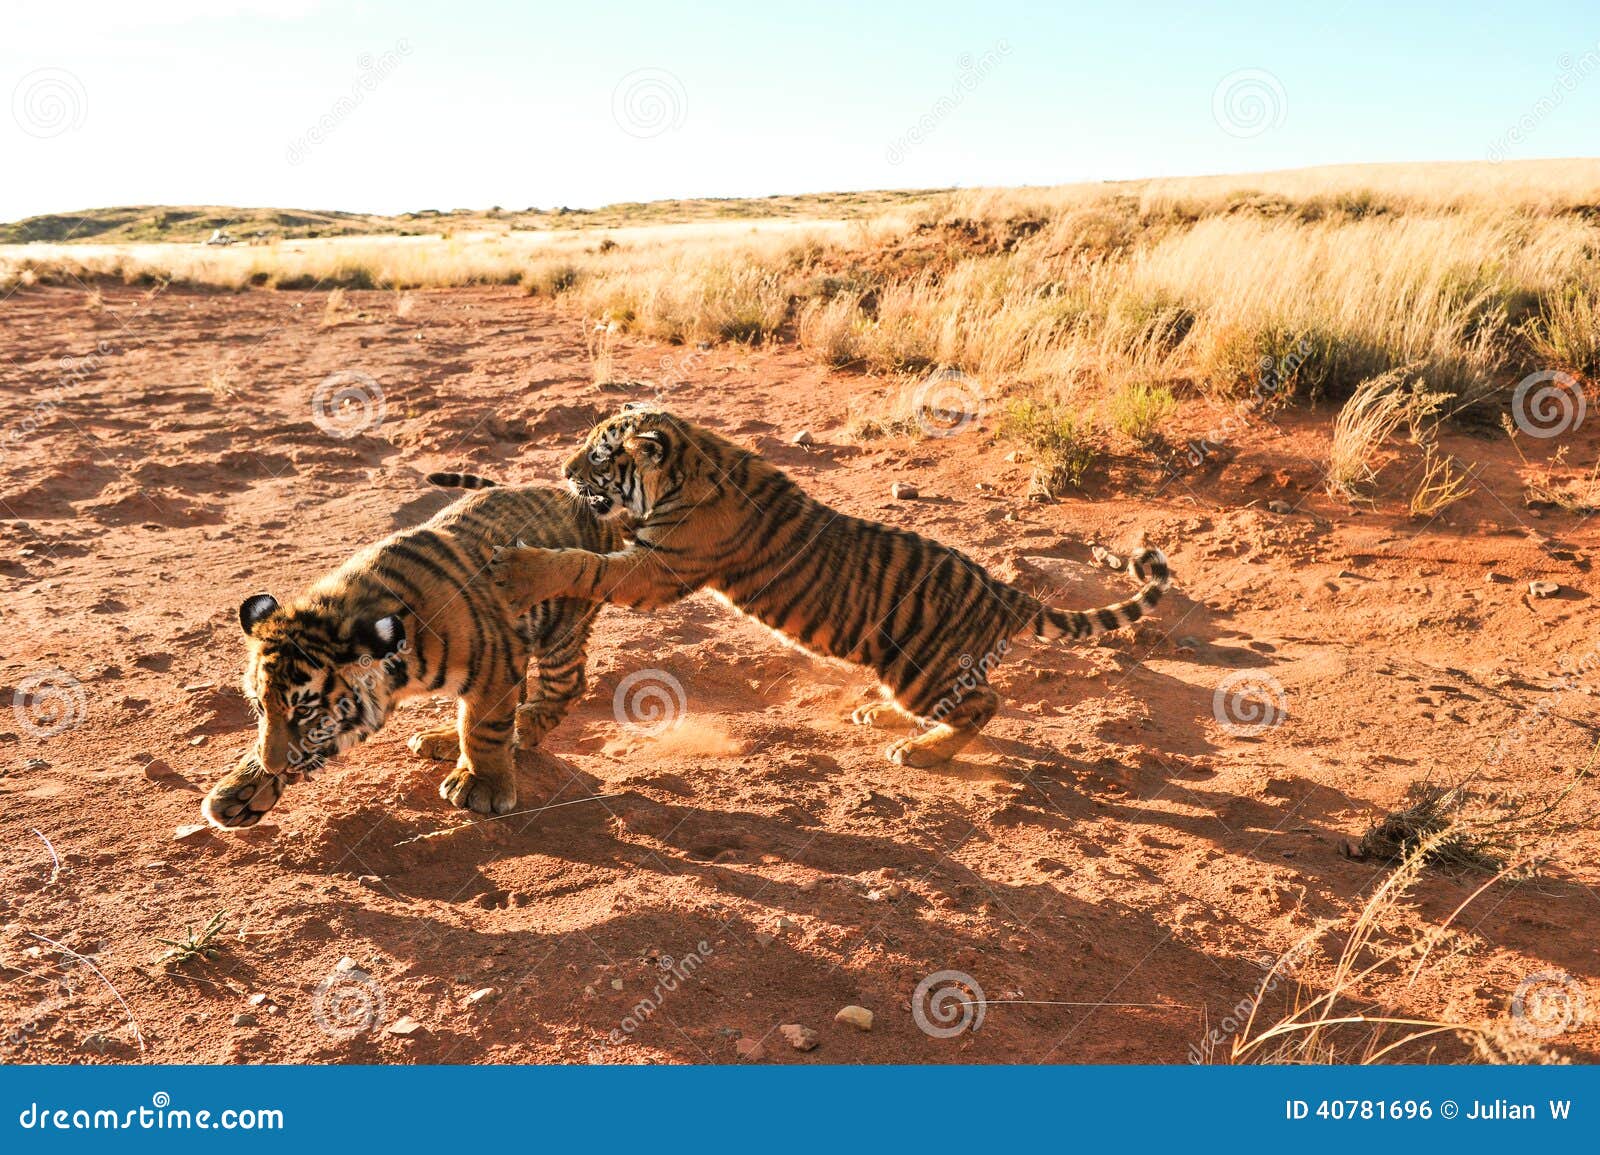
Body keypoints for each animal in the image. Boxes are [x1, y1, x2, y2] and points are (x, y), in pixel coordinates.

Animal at [201, 478, 621, 828]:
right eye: (259, 706)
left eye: (304, 711)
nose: (271, 766)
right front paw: (239, 792)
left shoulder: (494, 661)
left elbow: (484, 726)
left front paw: (480, 786)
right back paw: (445, 739)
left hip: (561, 627)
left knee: (565, 686)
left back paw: (518, 731)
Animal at [487, 403, 1171, 767]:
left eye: (599, 456)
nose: (562, 470)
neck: (685, 467)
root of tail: (1004, 590)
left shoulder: (657, 566)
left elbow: (585, 563)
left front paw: (524, 568)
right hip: (909, 667)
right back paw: (879, 716)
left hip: (923, 667)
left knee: (984, 704)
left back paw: (922, 752)